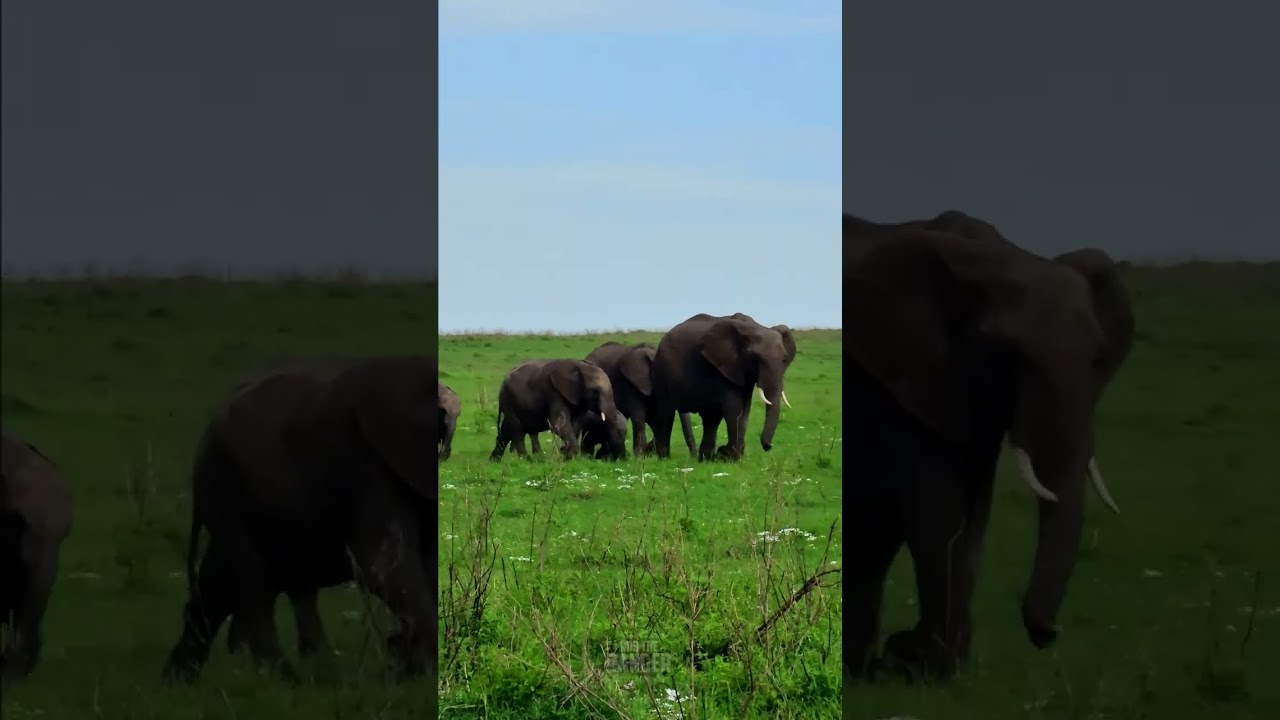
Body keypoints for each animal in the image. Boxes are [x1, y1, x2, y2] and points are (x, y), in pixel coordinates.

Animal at [161, 354, 437, 684]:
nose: (394, 645)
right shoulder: (365, 467)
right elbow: (382, 565)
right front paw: (416, 671)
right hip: (227, 489)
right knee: (253, 584)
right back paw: (287, 680)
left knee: (223, 582)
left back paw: (177, 682)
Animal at [489, 359, 623, 461]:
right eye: (595, 392)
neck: (580, 366)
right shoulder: (553, 393)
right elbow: (558, 424)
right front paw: (567, 456)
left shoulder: (579, 400)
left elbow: (575, 424)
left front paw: (566, 457)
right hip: (509, 400)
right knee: (517, 430)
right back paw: (528, 460)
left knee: (507, 430)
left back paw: (494, 461)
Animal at [649, 313, 797, 461]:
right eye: (755, 357)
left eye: (784, 359)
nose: (769, 446)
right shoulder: (723, 366)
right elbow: (734, 407)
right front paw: (731, 457)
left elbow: (745, 409)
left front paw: (731, 456)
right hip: (661, 372)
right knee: (666, 414)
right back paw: (665, 458)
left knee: (710, 418)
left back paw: (705, 459)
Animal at [843, 212, 1133, 682]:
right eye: (1004, 354)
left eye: (1097, 359)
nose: (1050, 633)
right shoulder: (907, 379)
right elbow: (938, 509)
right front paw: (922, 663)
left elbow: (975, 511)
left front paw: (938, 666)